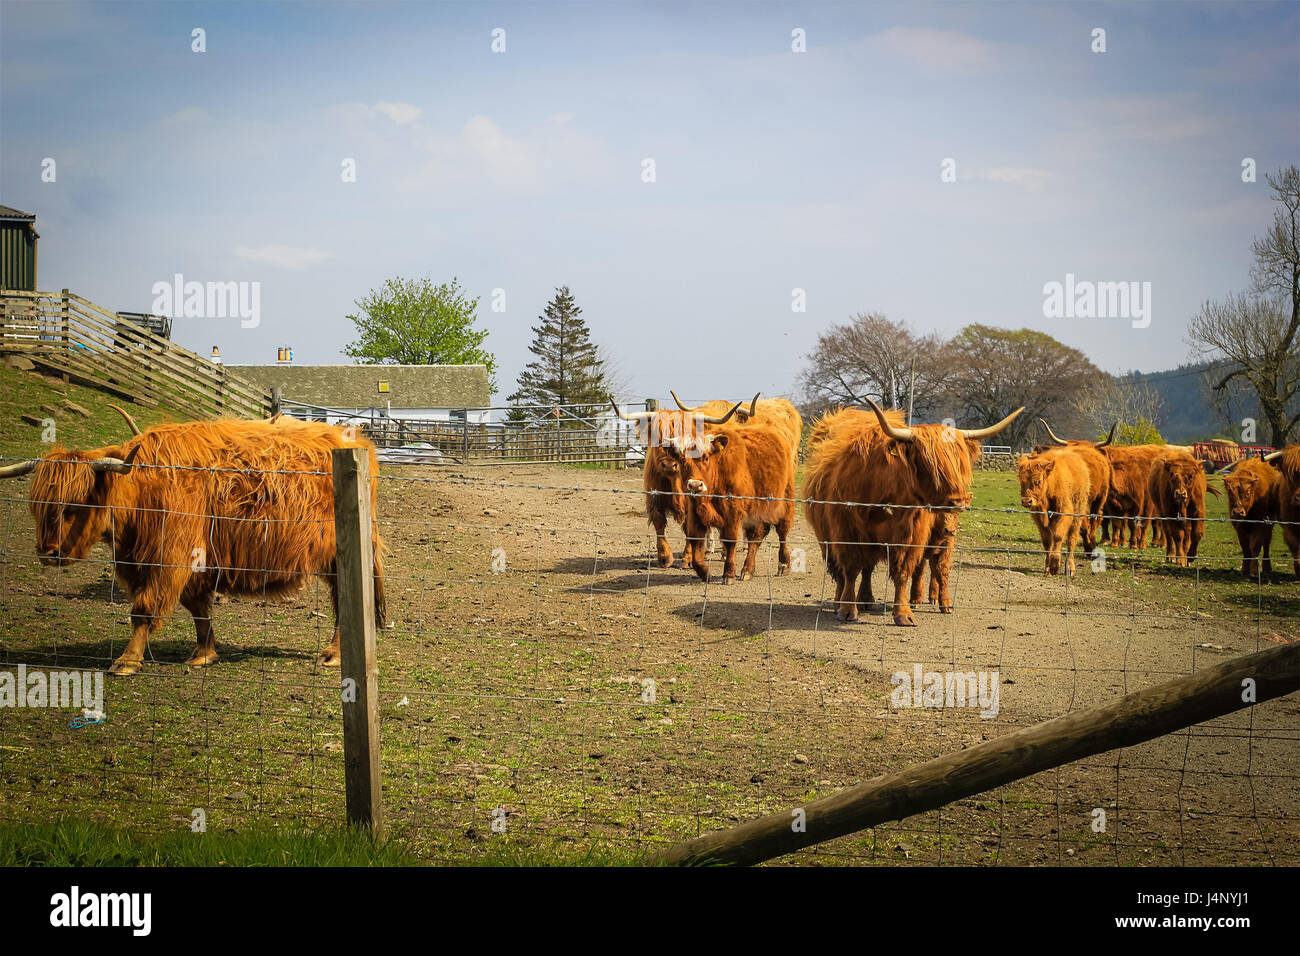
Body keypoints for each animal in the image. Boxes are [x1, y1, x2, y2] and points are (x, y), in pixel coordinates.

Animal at [0, 413, 387, 675]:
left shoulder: (171, 554)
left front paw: (127, 660)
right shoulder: (180, 560)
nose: (47, 552)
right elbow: (198, 608)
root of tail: (355, 441)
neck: (143, 490)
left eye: (73, 505)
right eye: (39, 506)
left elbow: (144, 609)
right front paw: (204, 653)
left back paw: (334, 654)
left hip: (342, 554)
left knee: (345, 601)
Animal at [655, 415, 799, 583]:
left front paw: (729, 573)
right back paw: (748, 569)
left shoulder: (733, 514)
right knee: (756, 537)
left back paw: (783, 564)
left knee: (782, 532)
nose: (695, 485)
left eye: (706, 458)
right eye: (682, 460)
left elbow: (730, 542)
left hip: (785, 502)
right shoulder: (695, 514)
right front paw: (705, 573)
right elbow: (696, 543)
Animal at [803, 401, 1023, 626]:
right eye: (928, 462)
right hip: (827, 538)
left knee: (868, 569)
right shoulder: (846, 531)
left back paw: (866, 599)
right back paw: (839, 603)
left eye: (958, 462)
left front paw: (903, 613)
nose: (958, 501)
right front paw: (847, 609)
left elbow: (902, 572)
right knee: (842, 572)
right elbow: (850, 570)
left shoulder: (909, 535)